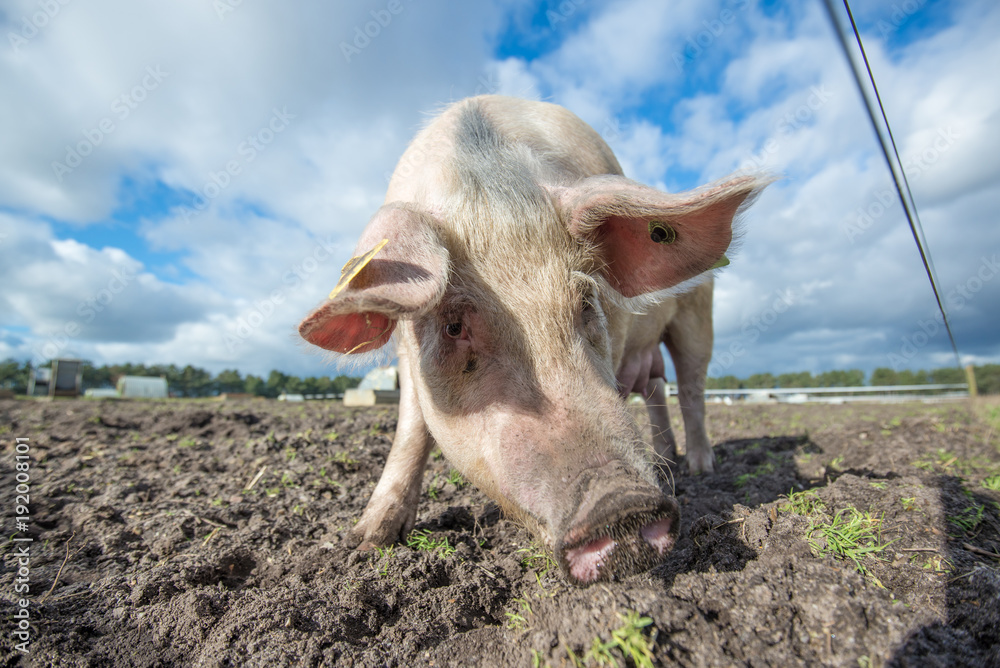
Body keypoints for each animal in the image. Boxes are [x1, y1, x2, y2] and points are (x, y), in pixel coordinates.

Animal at [299, 95, 767, 585]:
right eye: (453, 326)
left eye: (586, 301)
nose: (620, 503)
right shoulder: (409, 358)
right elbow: (411, 430)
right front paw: (366, 542)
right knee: (658, 386)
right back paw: (669, 461)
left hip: (697, 317)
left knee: (691, 387)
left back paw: (700, 467)